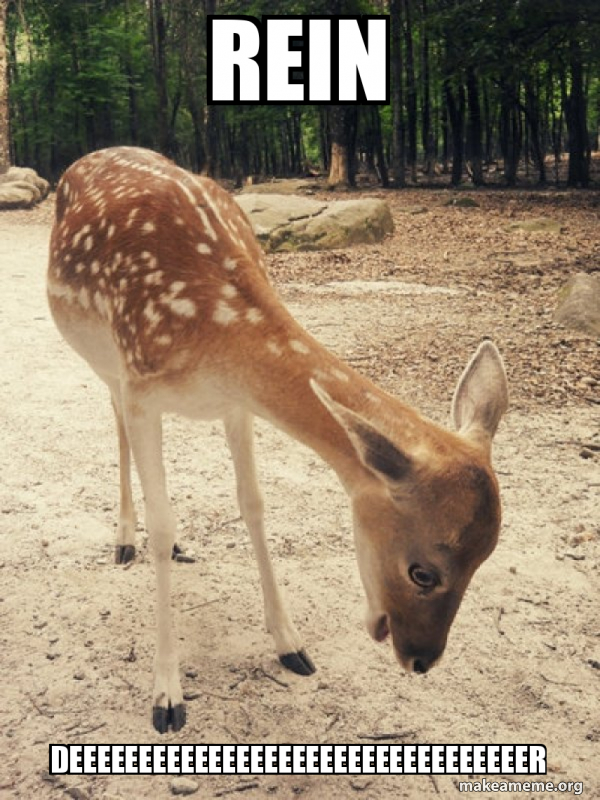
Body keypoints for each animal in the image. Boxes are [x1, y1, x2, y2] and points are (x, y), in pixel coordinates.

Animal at [47, 146, 508, 734]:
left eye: (485, 559)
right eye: (422, 571)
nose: (421, 659)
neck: (212, 333)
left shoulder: (237, 404)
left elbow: (254, 504)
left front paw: (291, 645)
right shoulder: (140, 388)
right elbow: (163, 518)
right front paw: (167, 695)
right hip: (104, 362)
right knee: (116, 425)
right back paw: (125, 539)